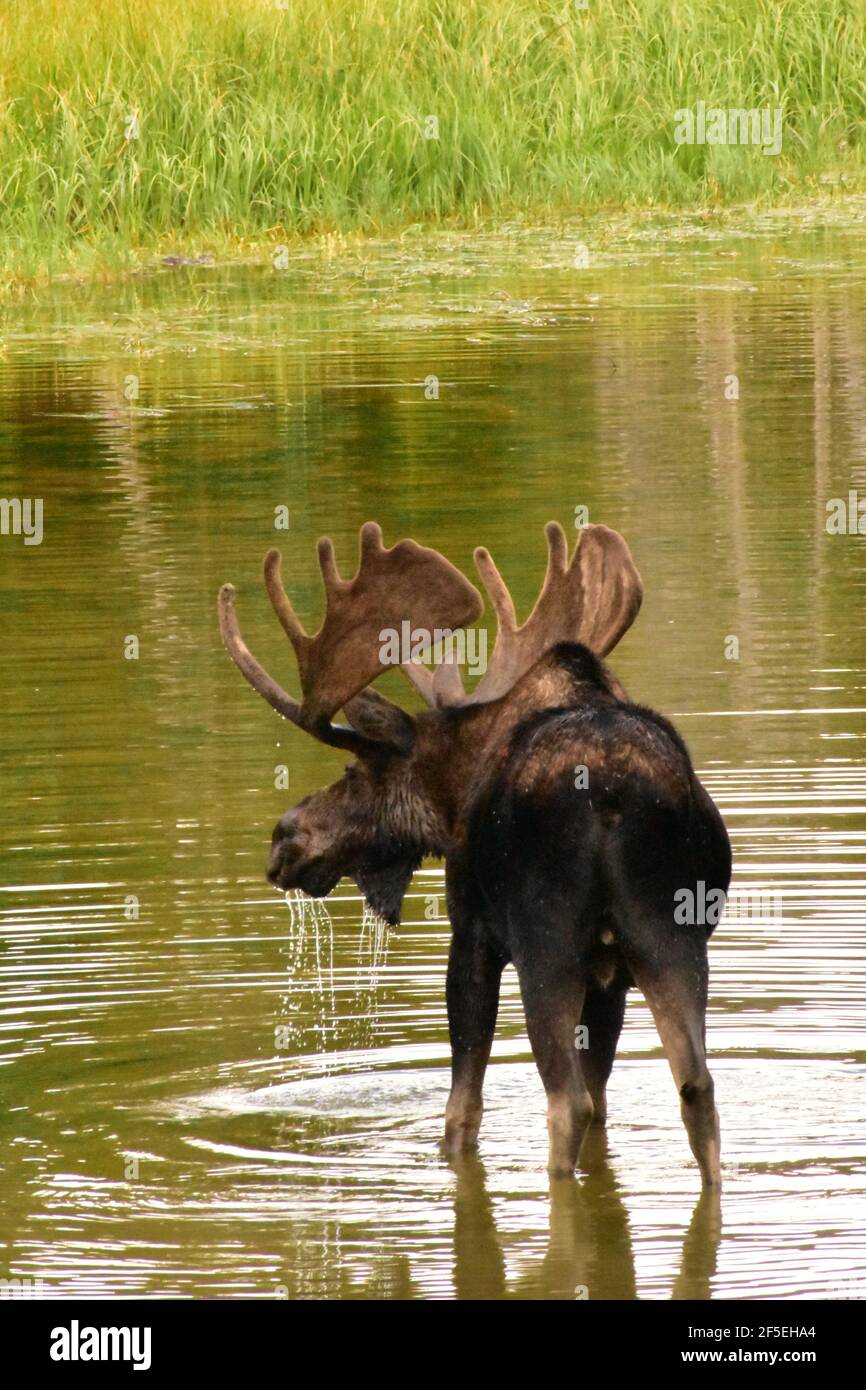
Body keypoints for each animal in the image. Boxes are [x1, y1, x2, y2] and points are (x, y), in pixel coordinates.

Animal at [218, 521, 731, 1185]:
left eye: (355, 771)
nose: (284, 838)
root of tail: (613, 796)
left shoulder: (474, 934)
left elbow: (462, 1108)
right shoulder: (610, 973)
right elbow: (605, 1094)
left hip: (547, 942)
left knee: (567, 1102)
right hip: (670, 936)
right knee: (695, 1089)